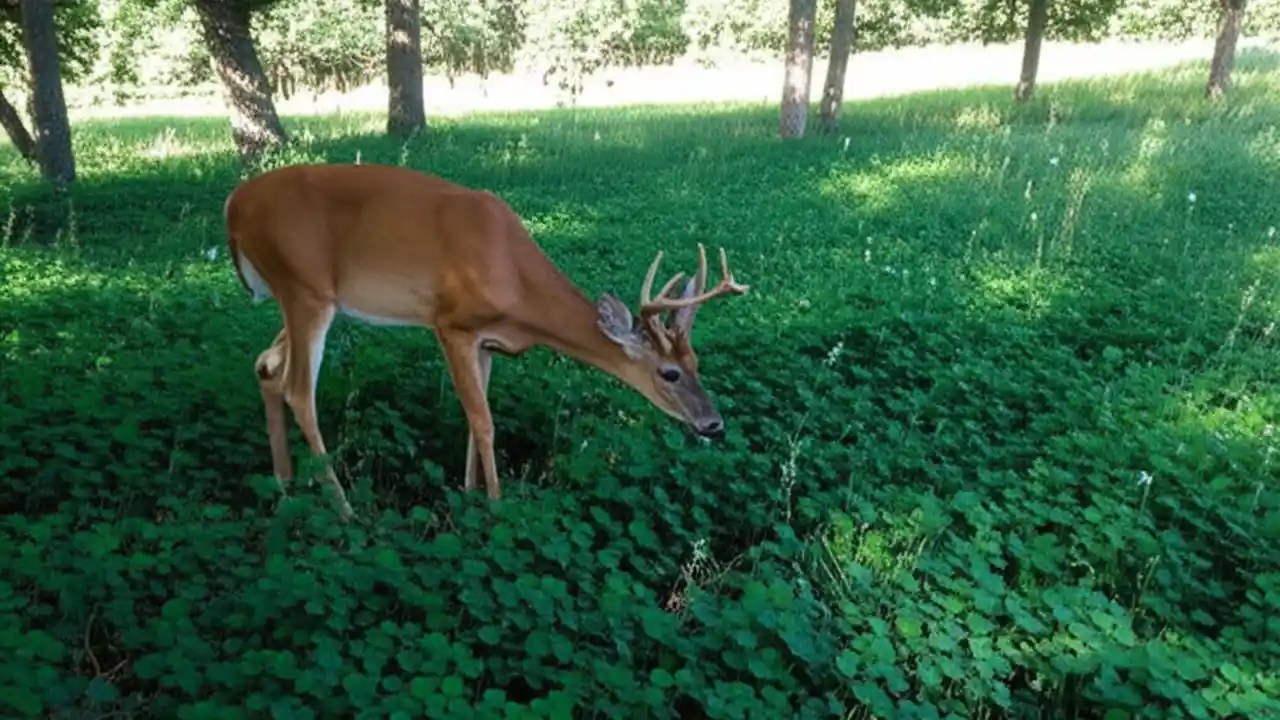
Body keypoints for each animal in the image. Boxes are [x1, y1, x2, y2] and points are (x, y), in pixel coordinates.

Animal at [223, 162, 749, 519]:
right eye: (669, 373)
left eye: (697, 362)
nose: (713, 424)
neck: (514, 280)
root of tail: (233, 207)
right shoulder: (452, 324)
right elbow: (485, 421)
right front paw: (495, 506)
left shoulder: (489, 343)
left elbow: (477, 420)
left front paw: (471, 493)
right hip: (305, 288)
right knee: (297, 390)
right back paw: (344, 509)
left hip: (296, 297)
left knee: (265, 366)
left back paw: (284, 485)